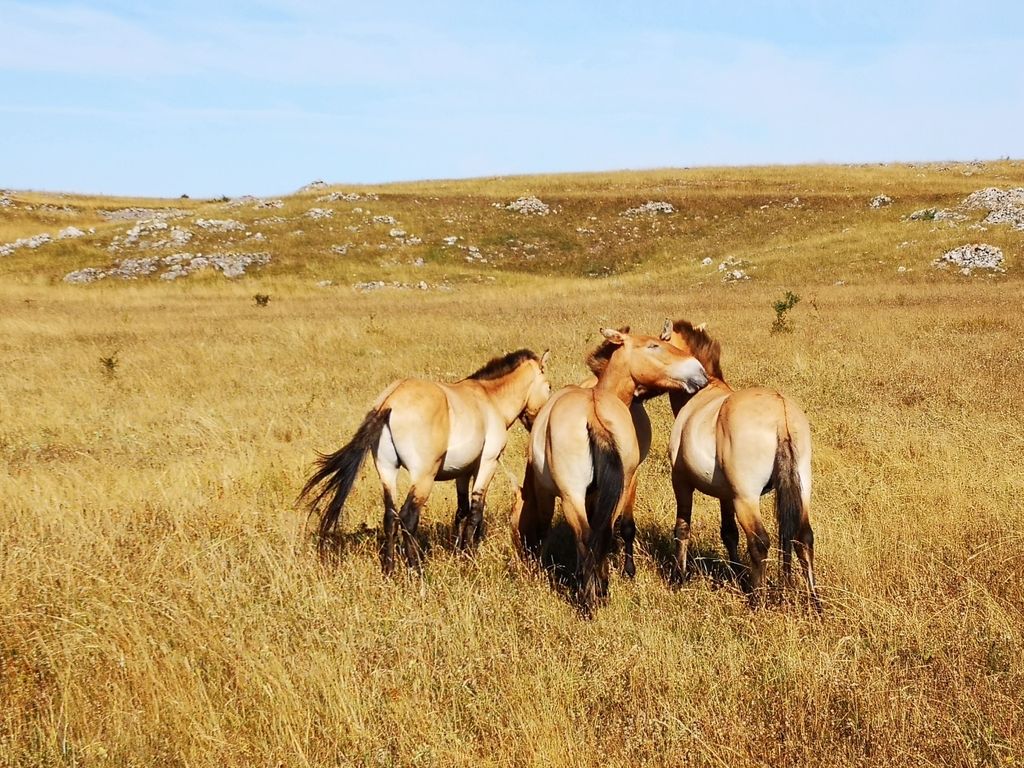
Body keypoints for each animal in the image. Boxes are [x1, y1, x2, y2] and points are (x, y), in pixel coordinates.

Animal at [301, 348, 551, 574]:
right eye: (549, 386)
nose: (537, 423)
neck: (489, 398)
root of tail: (390, 401)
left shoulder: (463, 471)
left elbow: (461, 511)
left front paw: (458, 551)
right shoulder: (487, 463)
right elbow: (475, 512)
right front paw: (468, 557)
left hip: (387, 471)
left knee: (390, 517)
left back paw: (389, 570)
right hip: (423, 477)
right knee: (408, 518)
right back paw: (417, 570)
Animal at [512, 326, 709, 610]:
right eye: (653, 346)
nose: (700, 372)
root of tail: (592, 409)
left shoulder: (547, 491)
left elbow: (546, 527)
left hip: (573, 495)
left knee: (587, 537)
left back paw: (589, 599)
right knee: (599, 535)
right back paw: (601, 588)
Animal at [662, 320, 819, 606]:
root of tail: (780, 414)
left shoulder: (681, 481)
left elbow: (683, 527)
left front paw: (679, 577)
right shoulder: (726, 494)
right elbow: (729, 533)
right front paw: (736, 574)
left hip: (746, 498)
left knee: (759, 542)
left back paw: (757, 600)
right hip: (801, 489)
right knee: (804, 539)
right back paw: (815, 603)